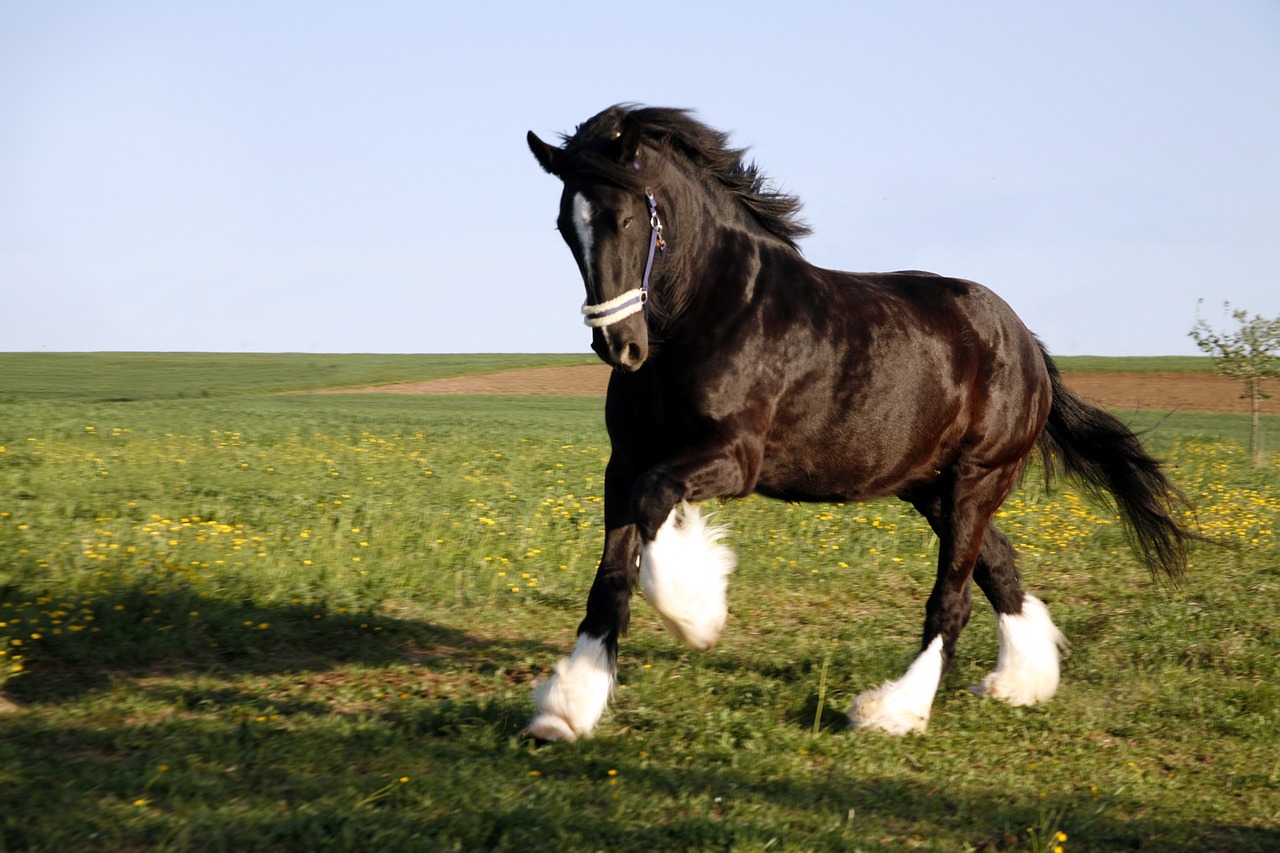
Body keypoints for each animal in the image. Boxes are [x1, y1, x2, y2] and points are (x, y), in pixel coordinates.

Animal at [524, 104, 1192, 741]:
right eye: (564, 225)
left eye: (624, 219)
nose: (619, 346)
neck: (710, 312)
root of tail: (1026, 343)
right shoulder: (626, 461)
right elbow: (611, 580)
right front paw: (567, 709)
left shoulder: (733, 458)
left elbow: (656, 504)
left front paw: (698, 614)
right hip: (932, 488)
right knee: (998, 567)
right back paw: (1022, 681)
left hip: (978, 479)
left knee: (952, 598)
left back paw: (895, 710)